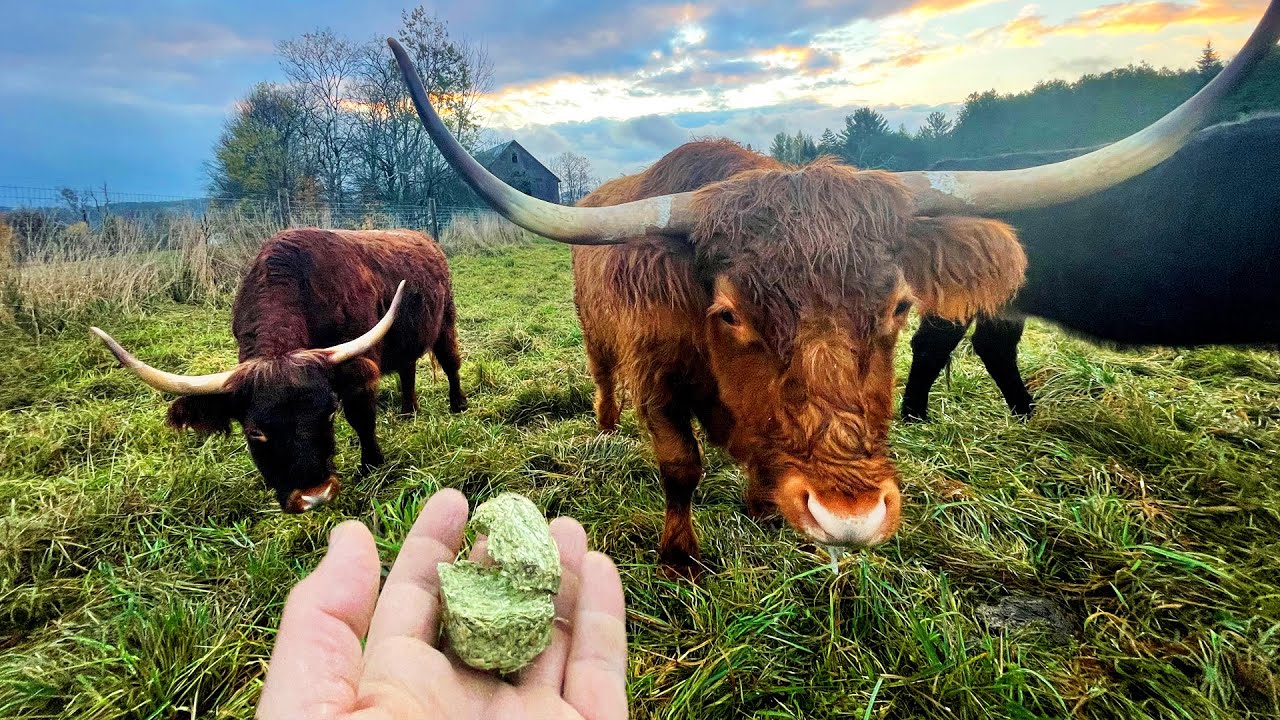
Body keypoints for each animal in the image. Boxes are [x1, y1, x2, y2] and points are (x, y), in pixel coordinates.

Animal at [92, 228, 467, 512]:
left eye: (328, 414)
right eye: (255, 433)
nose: (314, 497)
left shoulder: (357, 368)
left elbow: (362, 418)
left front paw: (371, 464)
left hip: (446, 320)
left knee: (450, 361)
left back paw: (458, 405)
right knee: (407, 369)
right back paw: (407, 413)